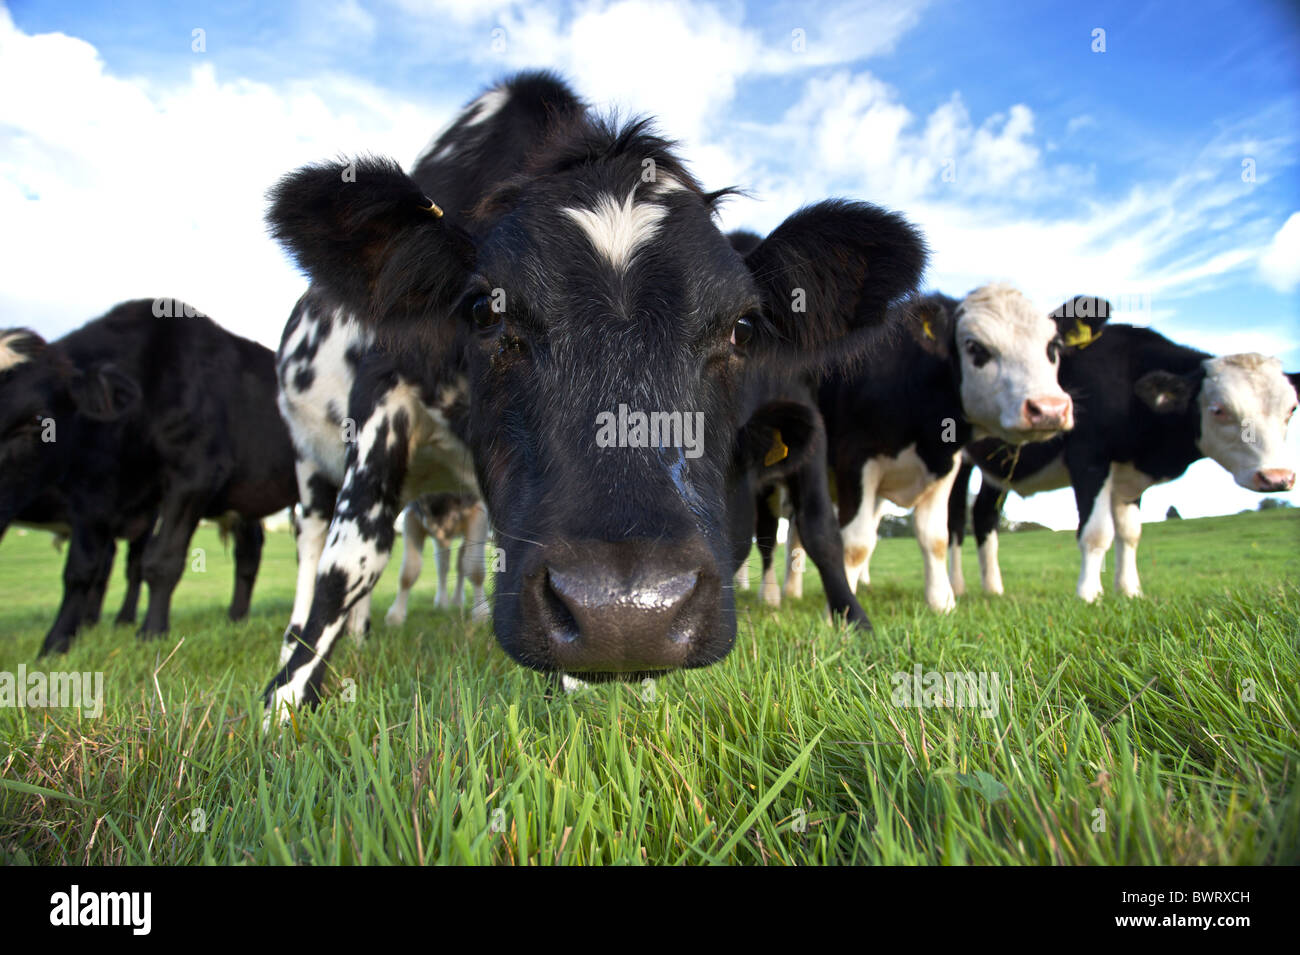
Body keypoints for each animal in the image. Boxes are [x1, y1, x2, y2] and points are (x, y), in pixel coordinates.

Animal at [0, 303, 297, 654]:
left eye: (37, 419)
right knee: (249, 552)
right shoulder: (94, 497)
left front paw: (151, 634)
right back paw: (236, 620)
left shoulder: (195, 475)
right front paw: (57, 642)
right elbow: (82, 570)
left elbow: (161, 560)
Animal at [384, 492, 490, 625]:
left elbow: (475, 570)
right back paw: (442, 602)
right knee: (443, 565)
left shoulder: (478, 511)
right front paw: (395, 616)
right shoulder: (412, 516)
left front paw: (481, 614)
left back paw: (457, 599)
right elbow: (409, 571)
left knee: (461, 562)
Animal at [817, 287, 1110, 611]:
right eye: (974, 347)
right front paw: (841, 611)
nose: (1049, 409)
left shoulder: (946, 466)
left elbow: (935, 538)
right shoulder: (855, 460)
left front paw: (941, 603)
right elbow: (854, 543)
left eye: (1053, 346)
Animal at [948, 320, 1299, 601]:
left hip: (999, 470)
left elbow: (1130, 533)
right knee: (955, 522)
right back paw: (957, 587)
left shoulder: (1128, 474)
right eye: (1219, 409)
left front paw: (1130, 591)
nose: (1277, 477)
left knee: (984, 516)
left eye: (1291, 410)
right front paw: (1088, 594)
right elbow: (1096, 532)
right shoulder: (1088, 458)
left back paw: (993, 589)